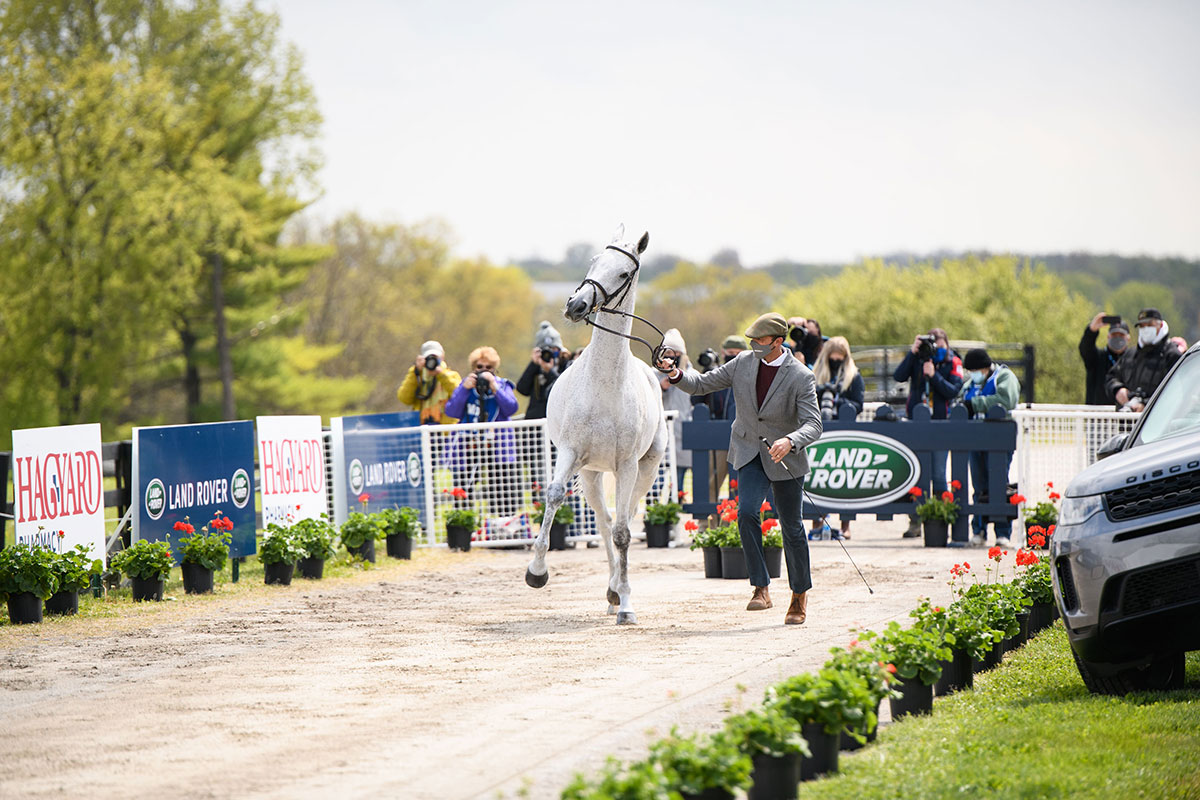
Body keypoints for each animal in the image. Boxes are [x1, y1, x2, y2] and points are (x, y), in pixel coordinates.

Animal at [524, 224, 668, 625]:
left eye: (623, 272)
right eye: (594, 261)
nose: (576, 305)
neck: (604, 382)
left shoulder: (628, 465)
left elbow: (623, 533)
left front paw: (628, 605)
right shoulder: (570, 453)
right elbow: (555, 496)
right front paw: (536, 571)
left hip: (644, 469)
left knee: (623, 519)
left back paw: (618, 592)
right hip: (590, 474)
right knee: (603, 522)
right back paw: (610, 592)